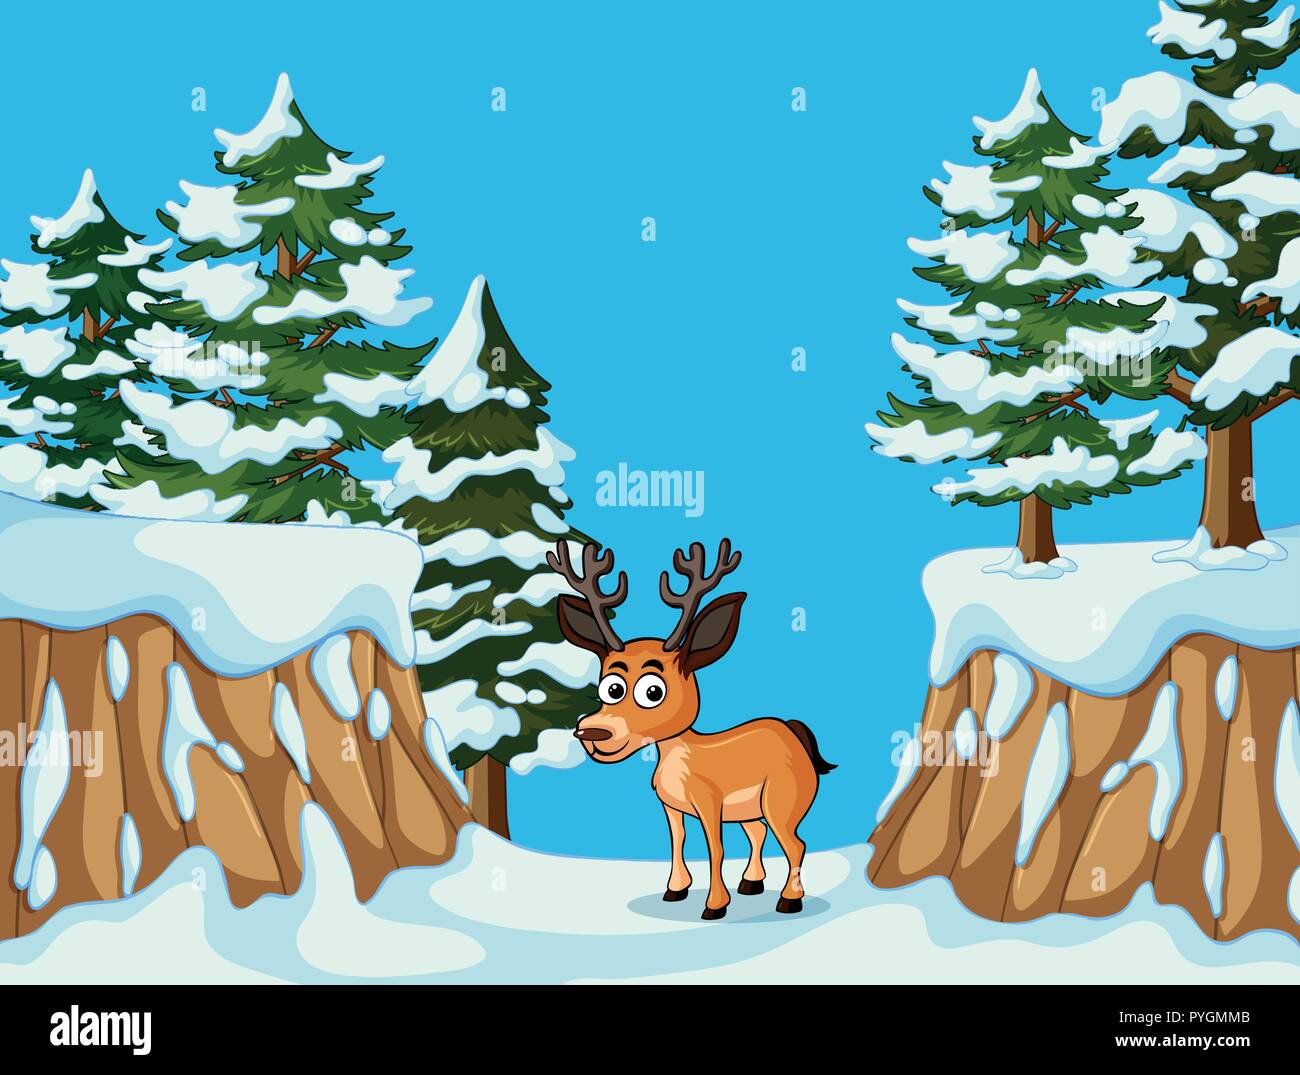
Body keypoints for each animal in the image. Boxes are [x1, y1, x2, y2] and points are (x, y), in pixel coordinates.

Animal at [547, 538, 835, 920]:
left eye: (653, 691)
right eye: (610, 687)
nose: (592, 733)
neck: (680, 757)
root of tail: (792, 731)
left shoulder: (709, 803)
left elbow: (715, 848)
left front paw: (714, 906)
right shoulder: (670, 807)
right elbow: (677, 841)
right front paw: (675, 890)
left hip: (781, 802)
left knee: (796, 843)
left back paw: (789, 900)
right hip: (749, 809)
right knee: (758, 833)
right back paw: (751, 883)